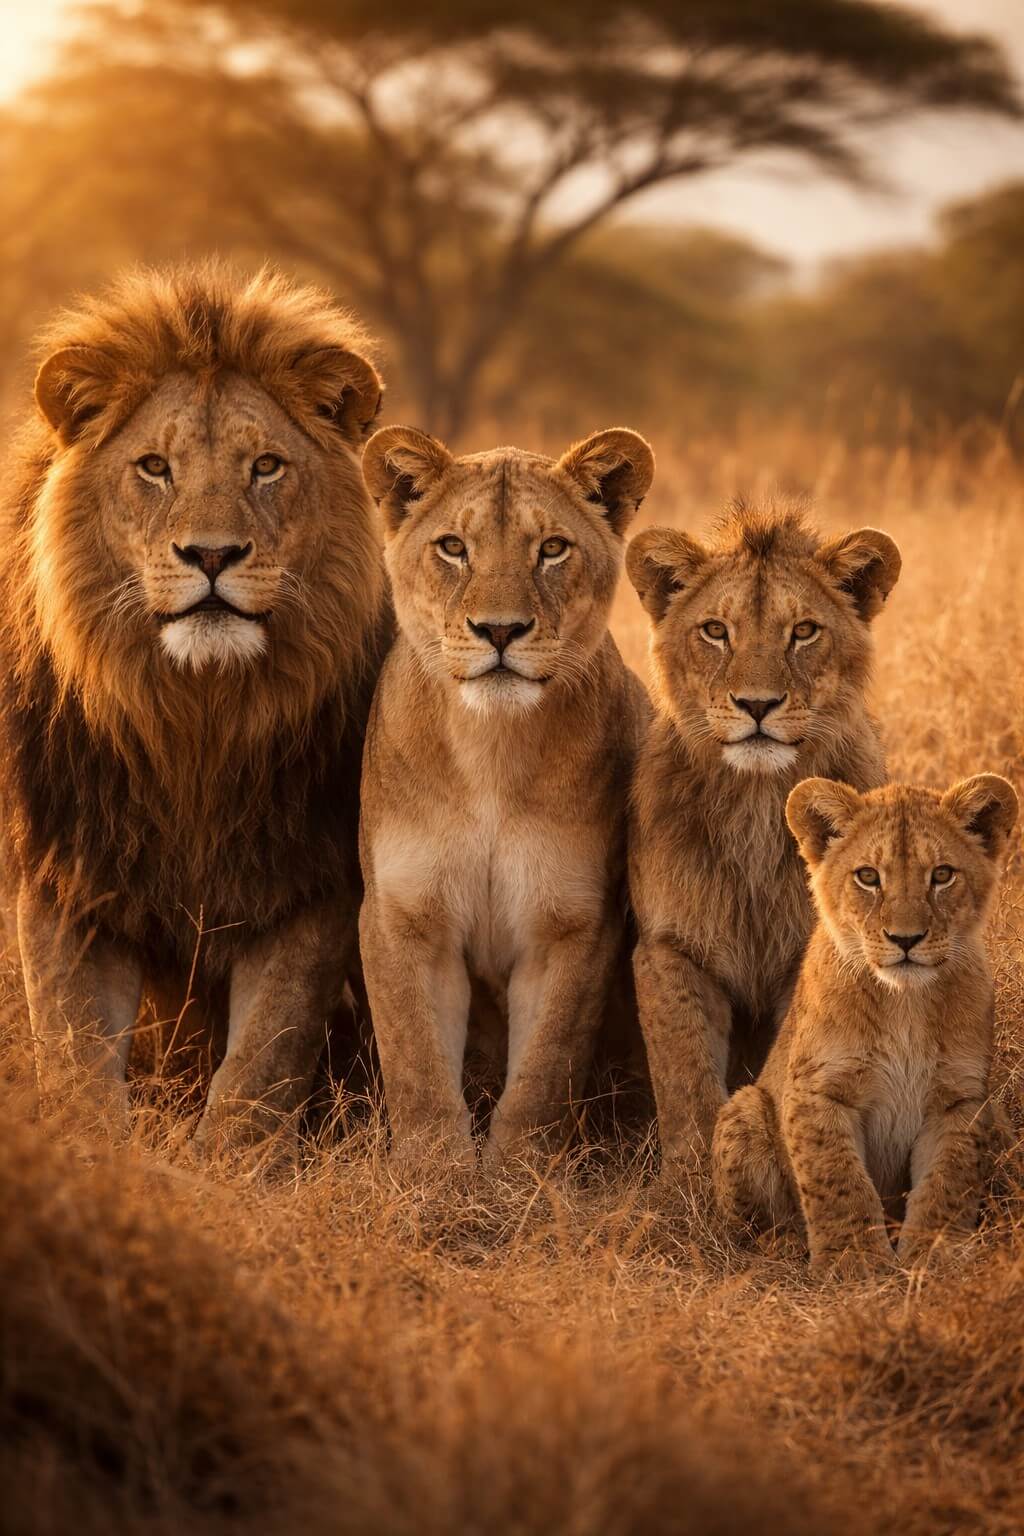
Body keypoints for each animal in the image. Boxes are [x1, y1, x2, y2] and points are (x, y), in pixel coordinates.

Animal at [0, 262, 388, 1153]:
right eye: (154, 467)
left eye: (267, 467)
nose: (212, 555)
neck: (194, 725)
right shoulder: (65, 877)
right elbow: (72, 1058)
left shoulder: (310, 885)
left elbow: (259, 1069)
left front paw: (227, 1170)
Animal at [358, 424, 653, 1169]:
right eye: (452, 548)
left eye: (551, 549)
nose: (499, 630)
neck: (491, 750)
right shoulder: (403, 916)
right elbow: (416, 1060)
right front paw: (434, 1175)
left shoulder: (572, 925)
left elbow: (545, 1069)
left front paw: (521, 1174)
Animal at [625, 503, 902, 1183]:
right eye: (715, 631)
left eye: (803, 631)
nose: (757, 705)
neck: (755, 804)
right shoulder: (671, 950)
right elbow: (685, 1076)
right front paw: (693, 1186)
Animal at [712, 773, 1019, 1277]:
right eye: (868, 877)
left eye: (942, 875)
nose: (905, 939)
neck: (905, 1003)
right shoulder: (818, 1091)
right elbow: (838, 1182)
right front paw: (854, 1265)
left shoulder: (961, 1098)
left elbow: (947, 1186)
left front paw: (933, 1259)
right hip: (745, 1108)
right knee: (752, 1228)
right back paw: (786, 1245)